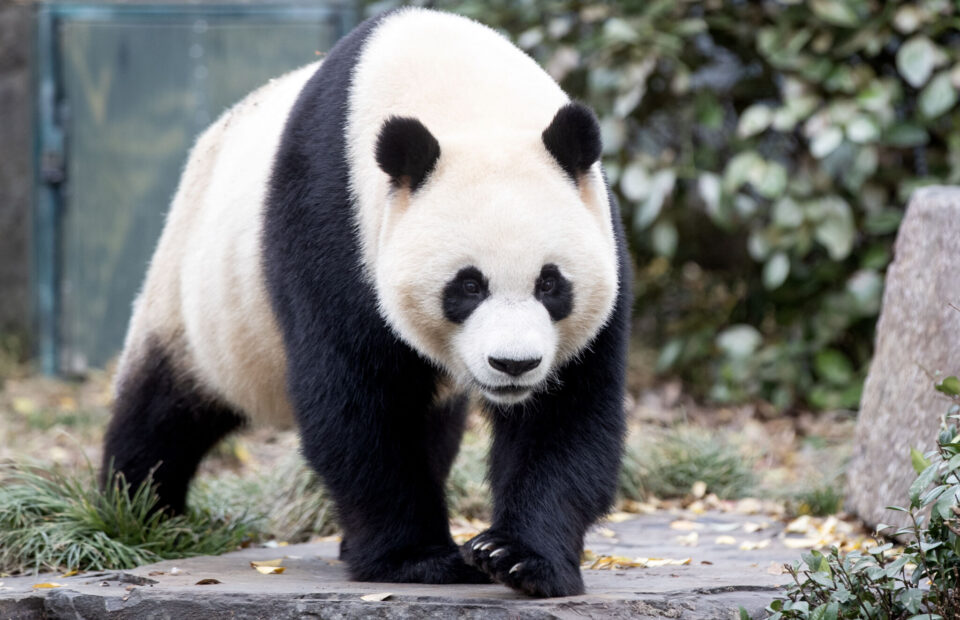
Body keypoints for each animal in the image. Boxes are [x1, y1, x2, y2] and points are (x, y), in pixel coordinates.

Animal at [102, 7, 631, 598]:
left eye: (550, 284)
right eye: (468, 286)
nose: (513, 365)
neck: (465, 96)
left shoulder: (600, 233)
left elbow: (567, 414)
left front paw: (517, 558)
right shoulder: (333, 222)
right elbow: (356, 403)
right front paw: (418, 560)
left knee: (432, 424)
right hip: (194, 294)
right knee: (161, 409)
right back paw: (140, 512)